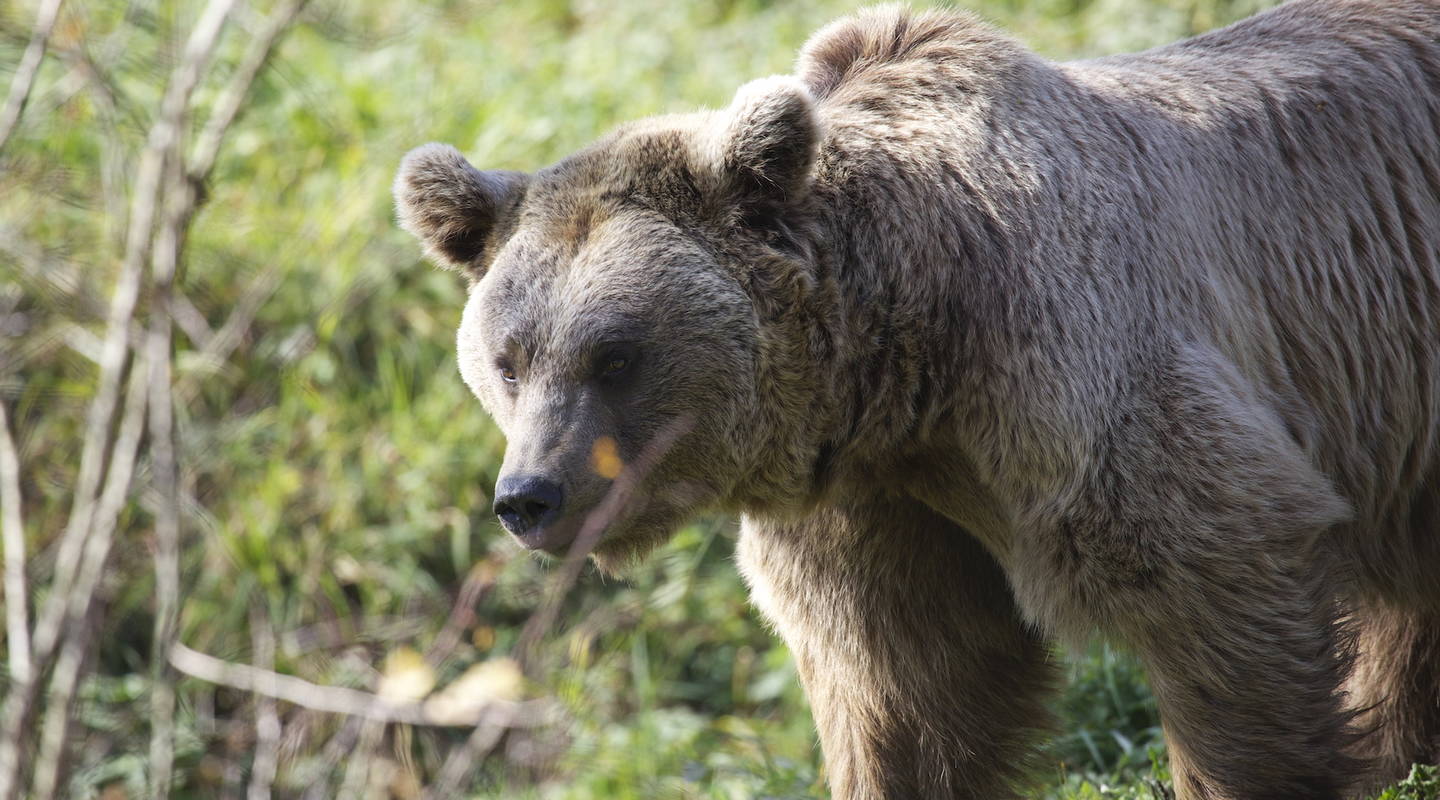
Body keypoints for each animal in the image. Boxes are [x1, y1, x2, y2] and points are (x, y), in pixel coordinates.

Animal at [392, 1, 1440, 797]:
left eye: (615, 355)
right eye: (508, 359)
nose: (529, 496)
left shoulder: (1093, 399)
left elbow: (1225, 615)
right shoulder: (874, 511)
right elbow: (914, 698)